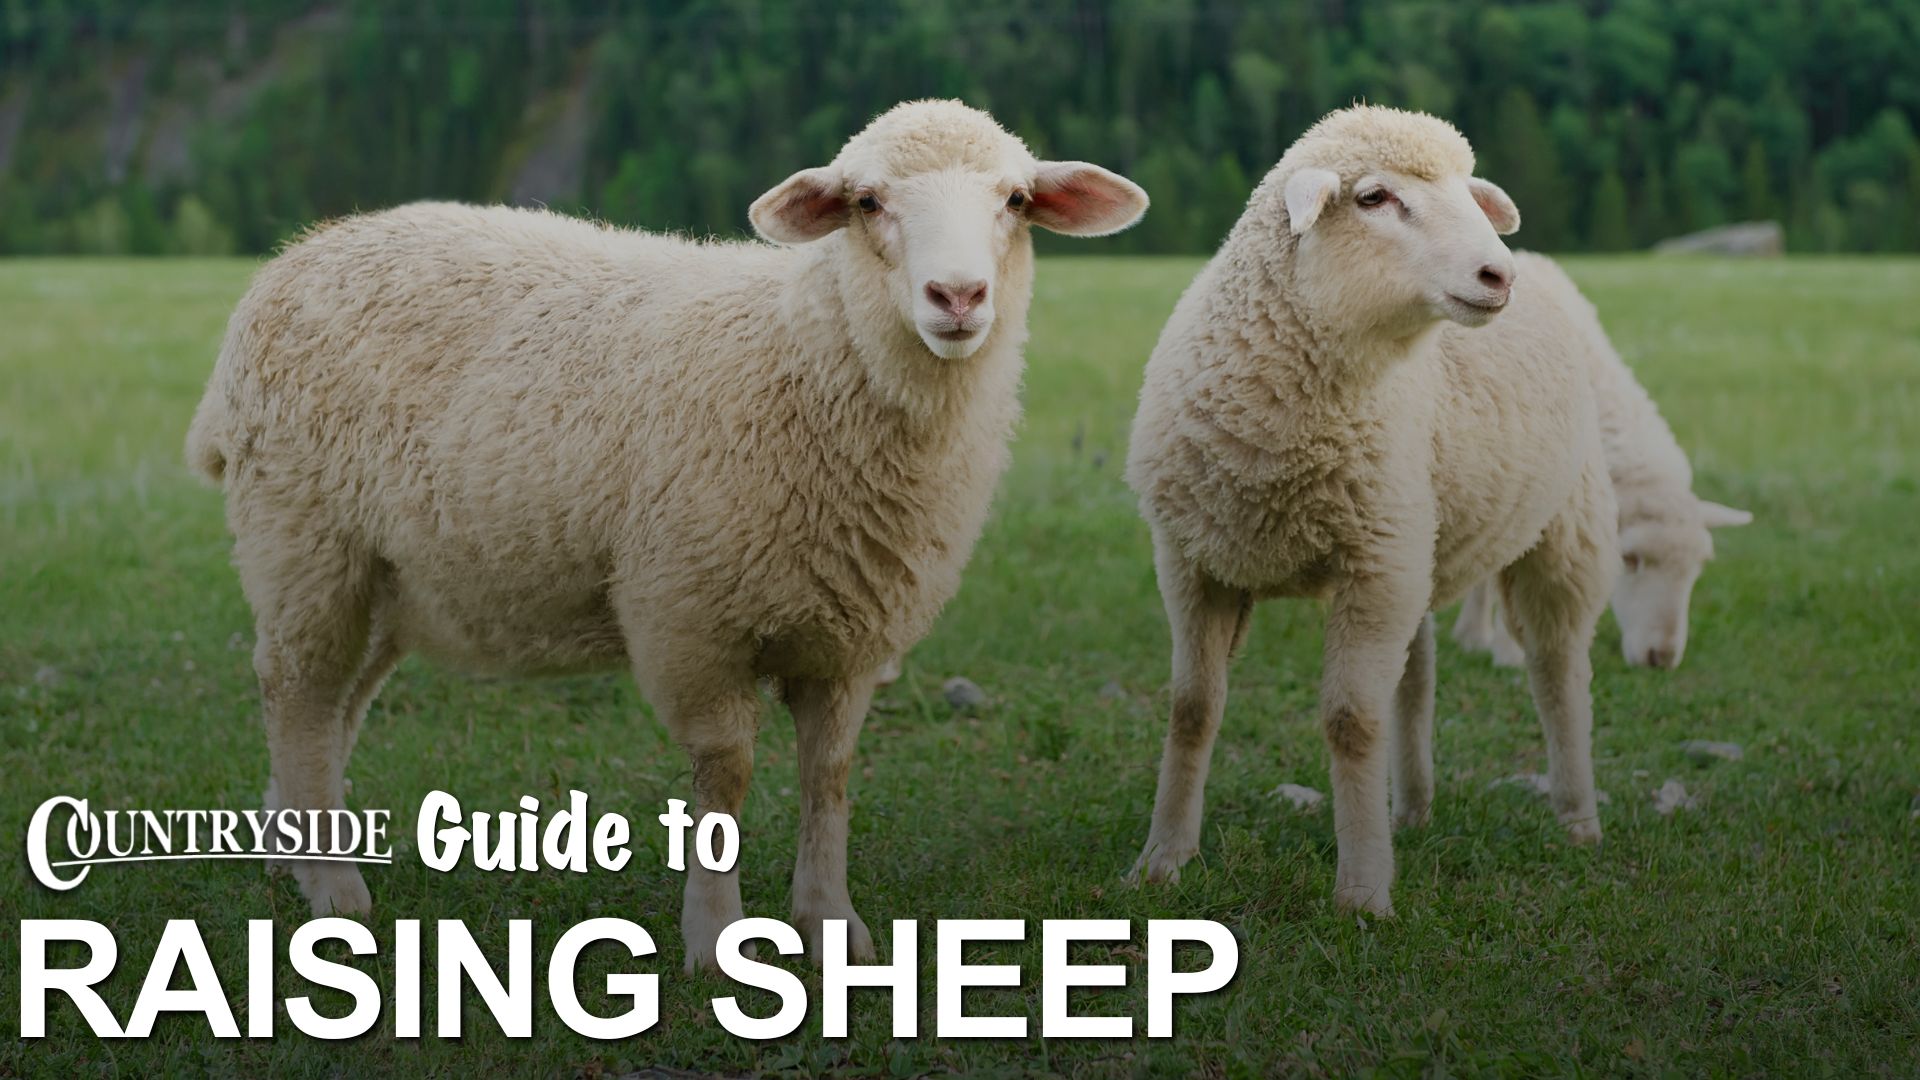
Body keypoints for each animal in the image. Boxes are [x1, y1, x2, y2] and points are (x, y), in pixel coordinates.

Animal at [185, 99, 1147, 968]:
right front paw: (716, 937)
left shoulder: (851, 635)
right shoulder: (692, 616)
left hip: (387, 573)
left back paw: (291, 851)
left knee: (337, 704)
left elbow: (829, 777)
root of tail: (296, 256)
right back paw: (332, 887)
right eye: (868, 201)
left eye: (1016, 199)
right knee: (299, 693)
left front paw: (831, 923)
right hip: (303, 538)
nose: (958, 296)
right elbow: (726, 776)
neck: (807, 356)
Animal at [1124, 105, 1618, 916]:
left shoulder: (1372, 566)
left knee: (1558, 669)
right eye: (1374, 198)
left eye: (1469, 194)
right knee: (1415, 679)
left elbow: (1351, 722)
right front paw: (1163, 858)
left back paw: (1577, 816)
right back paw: (1410, 810)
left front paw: (1361, 891)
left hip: (1557, 529)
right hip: (1417, 539)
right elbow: (1191, 708)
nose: (1497, 275)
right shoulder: (1194, 562)